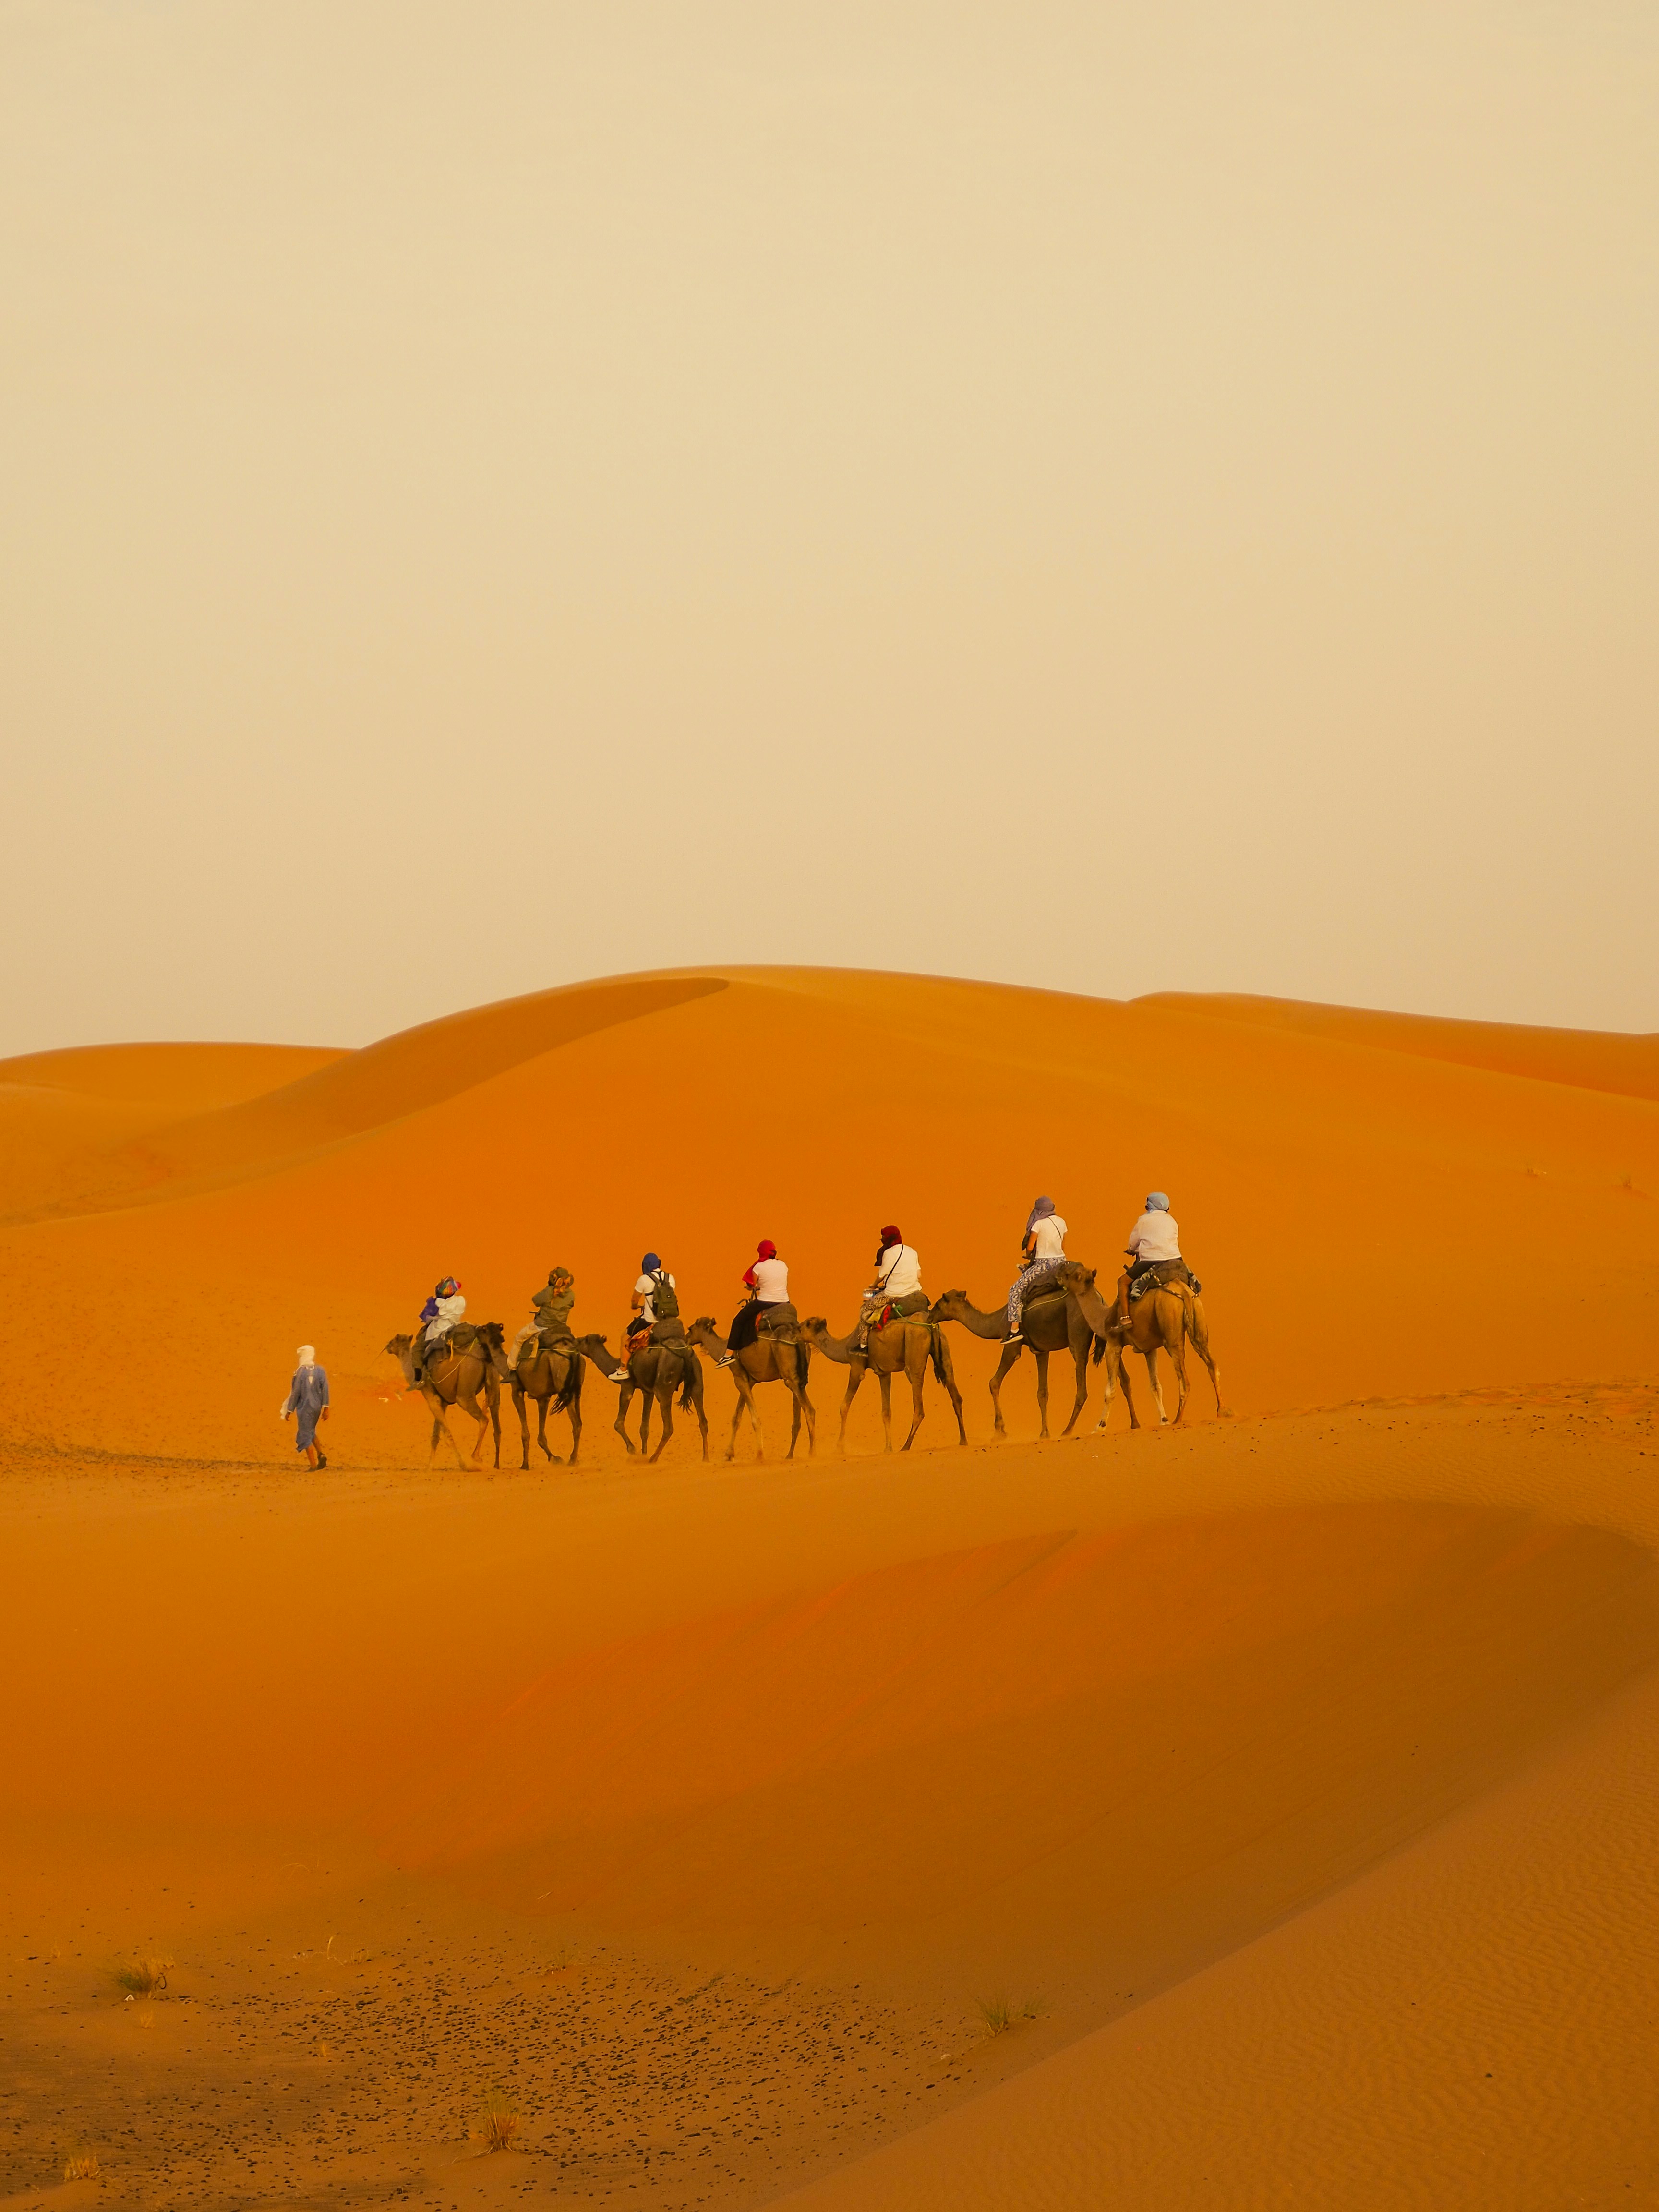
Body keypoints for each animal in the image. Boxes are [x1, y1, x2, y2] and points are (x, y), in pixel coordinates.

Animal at [385, 1324, 507, 1469]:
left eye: (395, 1339)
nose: (388, 1345)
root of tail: (484, 1357)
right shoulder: (442, 1402)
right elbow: (435, 1436)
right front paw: (430, 1467)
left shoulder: (431, 1397)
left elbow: (446, 1434)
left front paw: (463, 1465)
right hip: (494, 1384)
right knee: (496, 1421)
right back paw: (496, 1465)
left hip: (464, 1393)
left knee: (483, 1419)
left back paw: (476, 1458)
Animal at [507, 1333, 584, 1468]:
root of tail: (573, 1353)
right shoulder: (543, 1397)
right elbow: (541, 1435)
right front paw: (554, 1458)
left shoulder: (517, 1391)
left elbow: (525, 1434)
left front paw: (525, 1465)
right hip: (576, 1391)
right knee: (579, 1423)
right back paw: (574, 1459)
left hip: (566, 1391)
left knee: (576, 1423)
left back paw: (572, 1460)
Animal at [570, 1333, 709, 1464]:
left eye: (583, 1340)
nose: (574, 1341)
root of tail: (685, 1352)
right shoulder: (647, 1391)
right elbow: (644, 1428)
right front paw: (643, 1454)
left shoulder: (627, 1386)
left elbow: (618, 1424)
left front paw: (634, 1451)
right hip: (697, 1378)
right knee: (703, 1420)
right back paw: (705, 1458)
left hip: (664, 1383)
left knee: (669, 1427)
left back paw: (653, 1458)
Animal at [685, 1318, 815, 1462]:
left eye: (691, 1328)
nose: (686, 1339)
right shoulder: (748, 1381)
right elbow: (736, 1418)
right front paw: (729, 1454)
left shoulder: (739, 1377)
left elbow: (754, 1419)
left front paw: (760, 1455)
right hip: (799, 1377)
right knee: (801, 1416)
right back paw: (790, 1455)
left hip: (790, 1377)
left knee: (809, 1410)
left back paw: (812, 1453)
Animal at [797, 1313, 967, 1454]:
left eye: (806, 1324)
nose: (795, 1331)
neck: (845, 1346)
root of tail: (932, 1326)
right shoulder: (884, 1373)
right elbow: (886, 1412)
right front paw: (888, 1448)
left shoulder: (857, 1367)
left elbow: (844, 1406)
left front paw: (840, 1448)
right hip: (944, 1351)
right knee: (955, 1395)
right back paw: (963, 1440)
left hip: (914, 1351)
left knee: (919, 1406)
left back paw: (906, 1446)